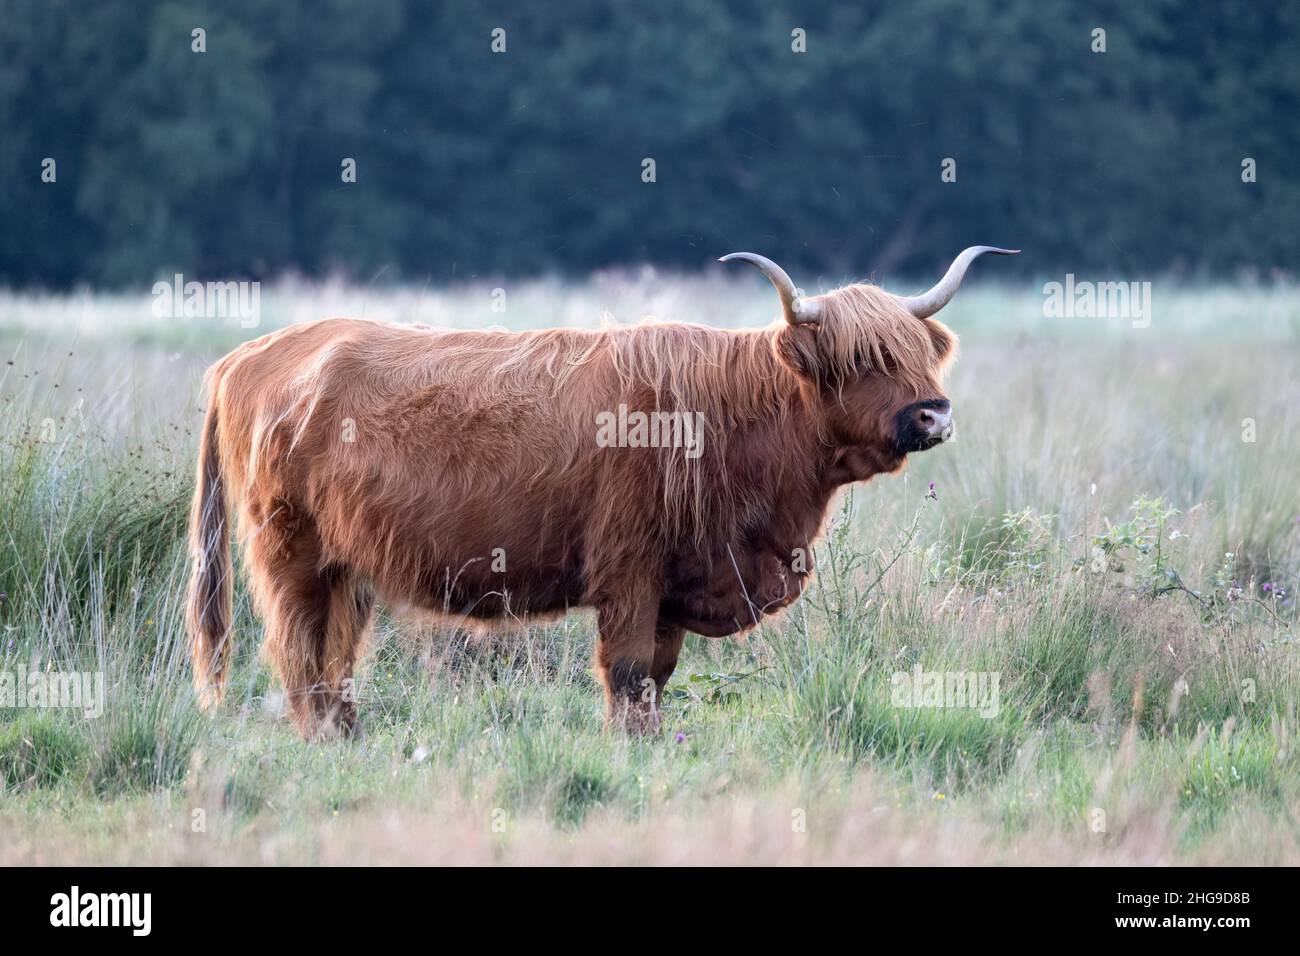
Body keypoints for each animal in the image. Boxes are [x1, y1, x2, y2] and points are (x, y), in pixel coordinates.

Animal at [186, 246, 1017, 737]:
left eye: (919, 353)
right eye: (862, 358)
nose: (933, 414)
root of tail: (246, 355)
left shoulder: (679, 580)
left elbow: (658, 676)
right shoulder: (630, 569)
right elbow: (626, 673)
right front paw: (631, 750)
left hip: (346, 566)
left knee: (333, 654)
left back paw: (350, 737)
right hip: (290, 553)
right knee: (297, 651)